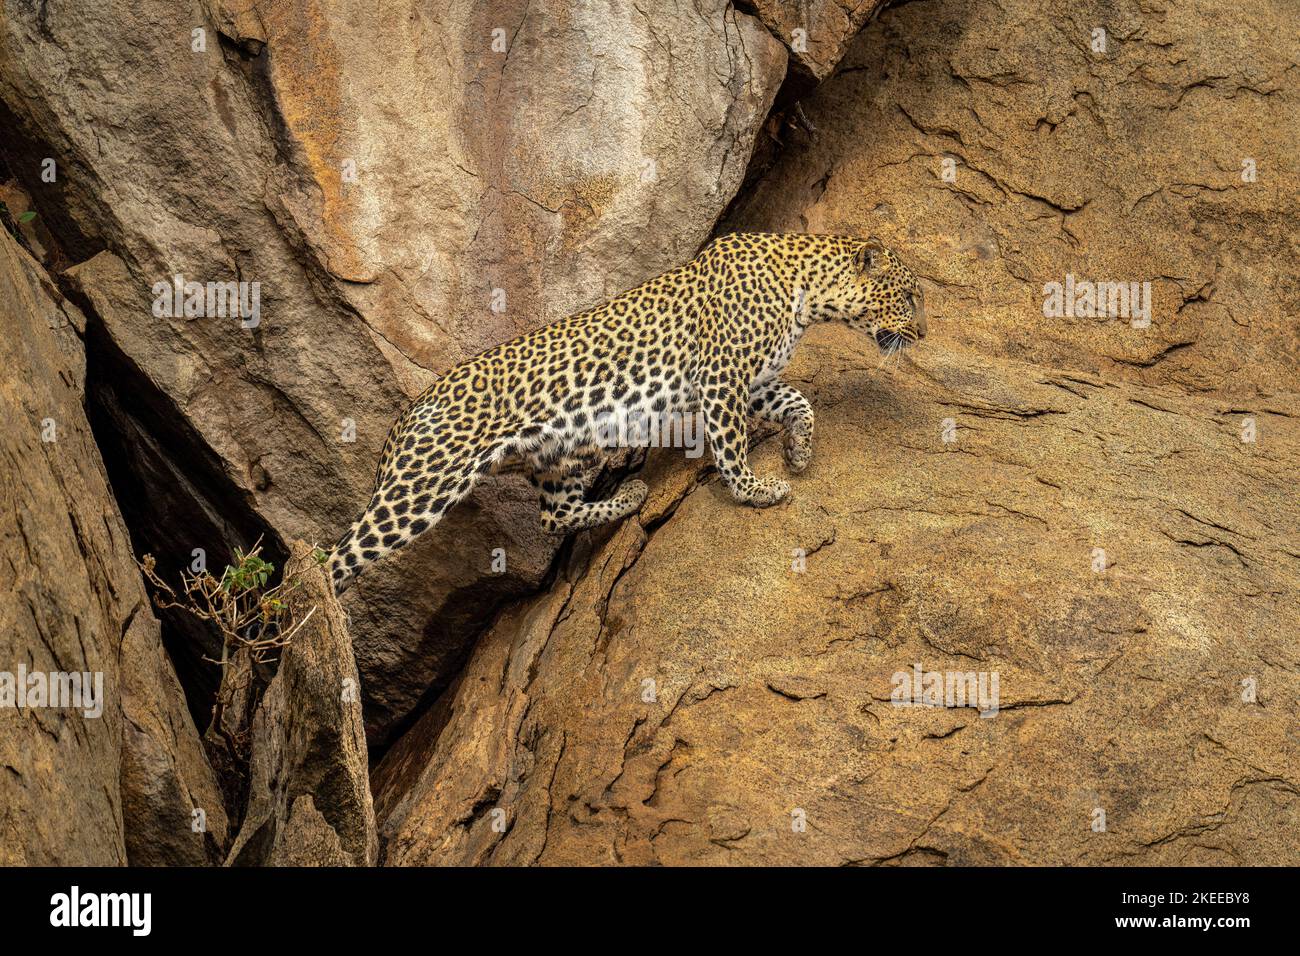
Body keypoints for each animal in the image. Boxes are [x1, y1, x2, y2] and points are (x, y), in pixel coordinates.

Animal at [328, 232, 926, 595]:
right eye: (909, 297)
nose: (924, 333)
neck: (808, 293)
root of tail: (405, 414)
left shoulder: (749, 382)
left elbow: (798, 401)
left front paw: (799, 451)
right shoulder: (722, 376)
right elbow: (731, 445)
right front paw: (755, 490)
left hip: (563, 454)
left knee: (554, 515)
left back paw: (630, 496)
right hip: (423, 485)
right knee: (333, 557)